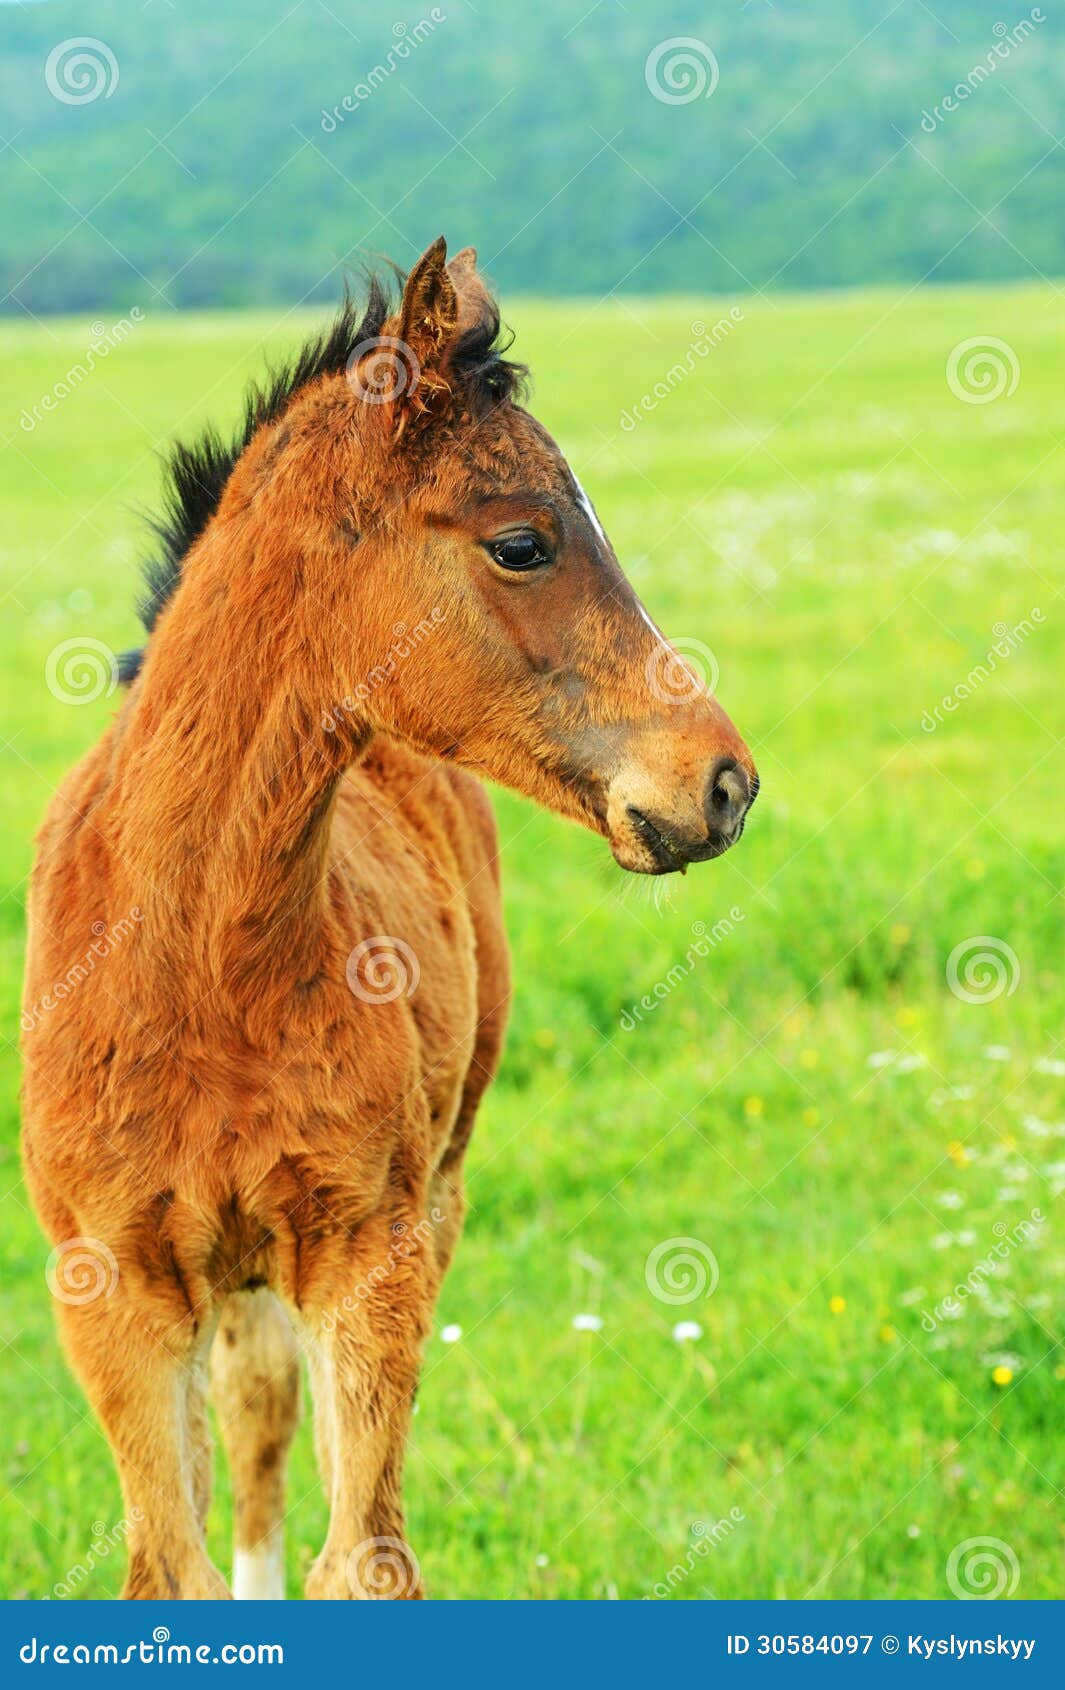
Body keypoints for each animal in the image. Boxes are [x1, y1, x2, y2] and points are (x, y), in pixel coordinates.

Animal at [21, 238, 757, 1599]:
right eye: (522, 540)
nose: (723, 782)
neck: (204, 965)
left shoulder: (374, 1262)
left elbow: (363, 1555)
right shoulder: (111, 1291)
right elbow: (170, 1568)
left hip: (434, 1195)